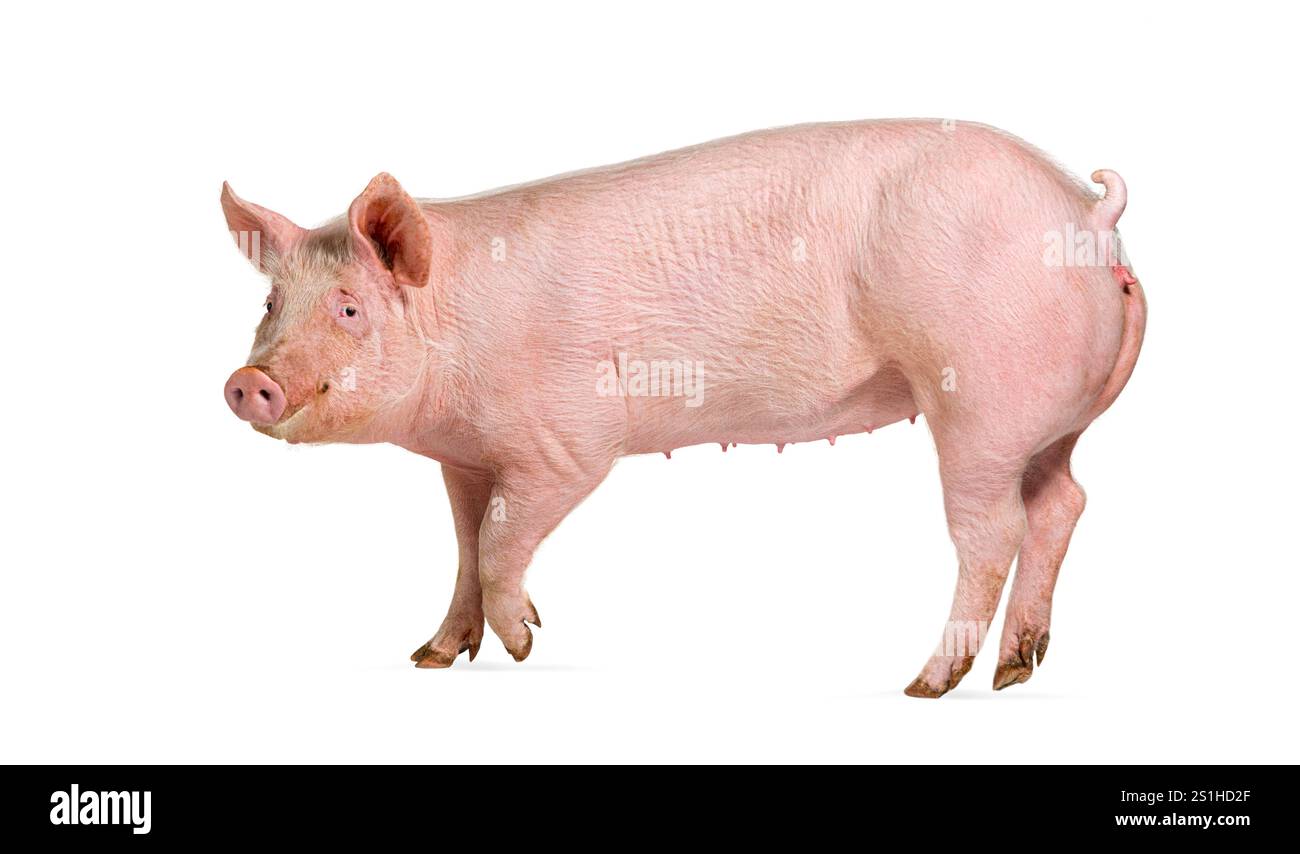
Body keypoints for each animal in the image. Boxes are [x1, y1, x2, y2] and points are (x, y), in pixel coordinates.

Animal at [221, 119, 1145, 696]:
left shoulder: (564, 446)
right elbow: (462, 543)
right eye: (270, 304)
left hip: (980, 401)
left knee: (993, 530)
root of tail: (1087, 214)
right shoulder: (465, 458)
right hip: (1048, 422)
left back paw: (928, 685)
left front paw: (524, 644)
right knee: (1063, 502)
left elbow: (498, 541)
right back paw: (1016, 670)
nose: (247, 381)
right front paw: (431, 658)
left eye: (348, 308)